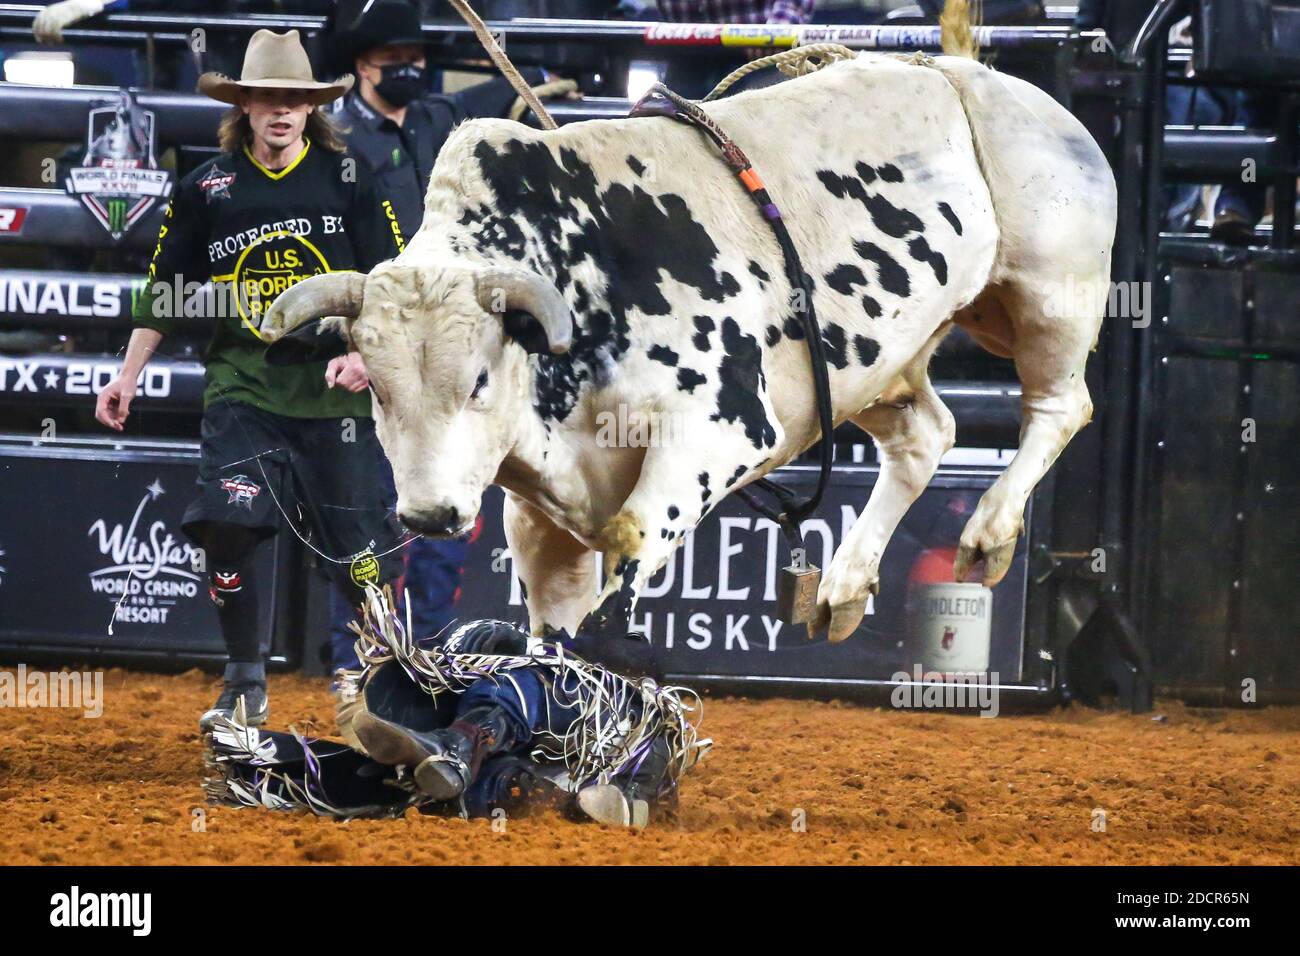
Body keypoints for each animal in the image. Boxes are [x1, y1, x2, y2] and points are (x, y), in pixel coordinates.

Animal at [261, 47, 1117, 645]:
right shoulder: (540, 515)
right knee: (926, 436)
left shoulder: (719, 432)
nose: (430, 515)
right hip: (868, 365)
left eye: (477, 380)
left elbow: (628, 552)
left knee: (1060, 406)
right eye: (375, 388)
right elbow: (552, 626)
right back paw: (843, 586)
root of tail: (987, 81)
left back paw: (989, 530)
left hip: (1050, 292)